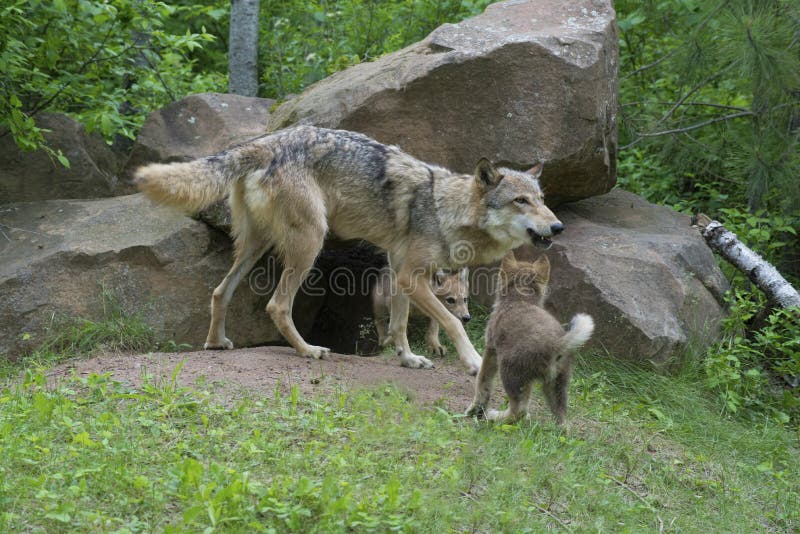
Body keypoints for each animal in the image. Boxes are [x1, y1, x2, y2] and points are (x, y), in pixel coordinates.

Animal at [134, 125, 563, 374]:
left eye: (542, 199)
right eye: (521, 201)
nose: (558, 226)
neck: (446, 208)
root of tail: (267, 140)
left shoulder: (402, 273)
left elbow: (399, 325)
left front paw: (408, 359)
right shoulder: (410, 276)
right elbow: (451, 322)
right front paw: (473, 361)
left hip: (255, 246)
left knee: (220, 291)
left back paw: (216, 343)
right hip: (311, 242)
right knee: (276, 305)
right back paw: (308, 351)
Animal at [466, 252, 594, 424]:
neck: (520, 299)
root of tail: (556, 344)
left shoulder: (490, 351)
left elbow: (482, 383)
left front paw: (473, 410)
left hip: (509, 374)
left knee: (516, 410)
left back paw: (494, 416)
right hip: (556, 386)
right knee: (562, 420)